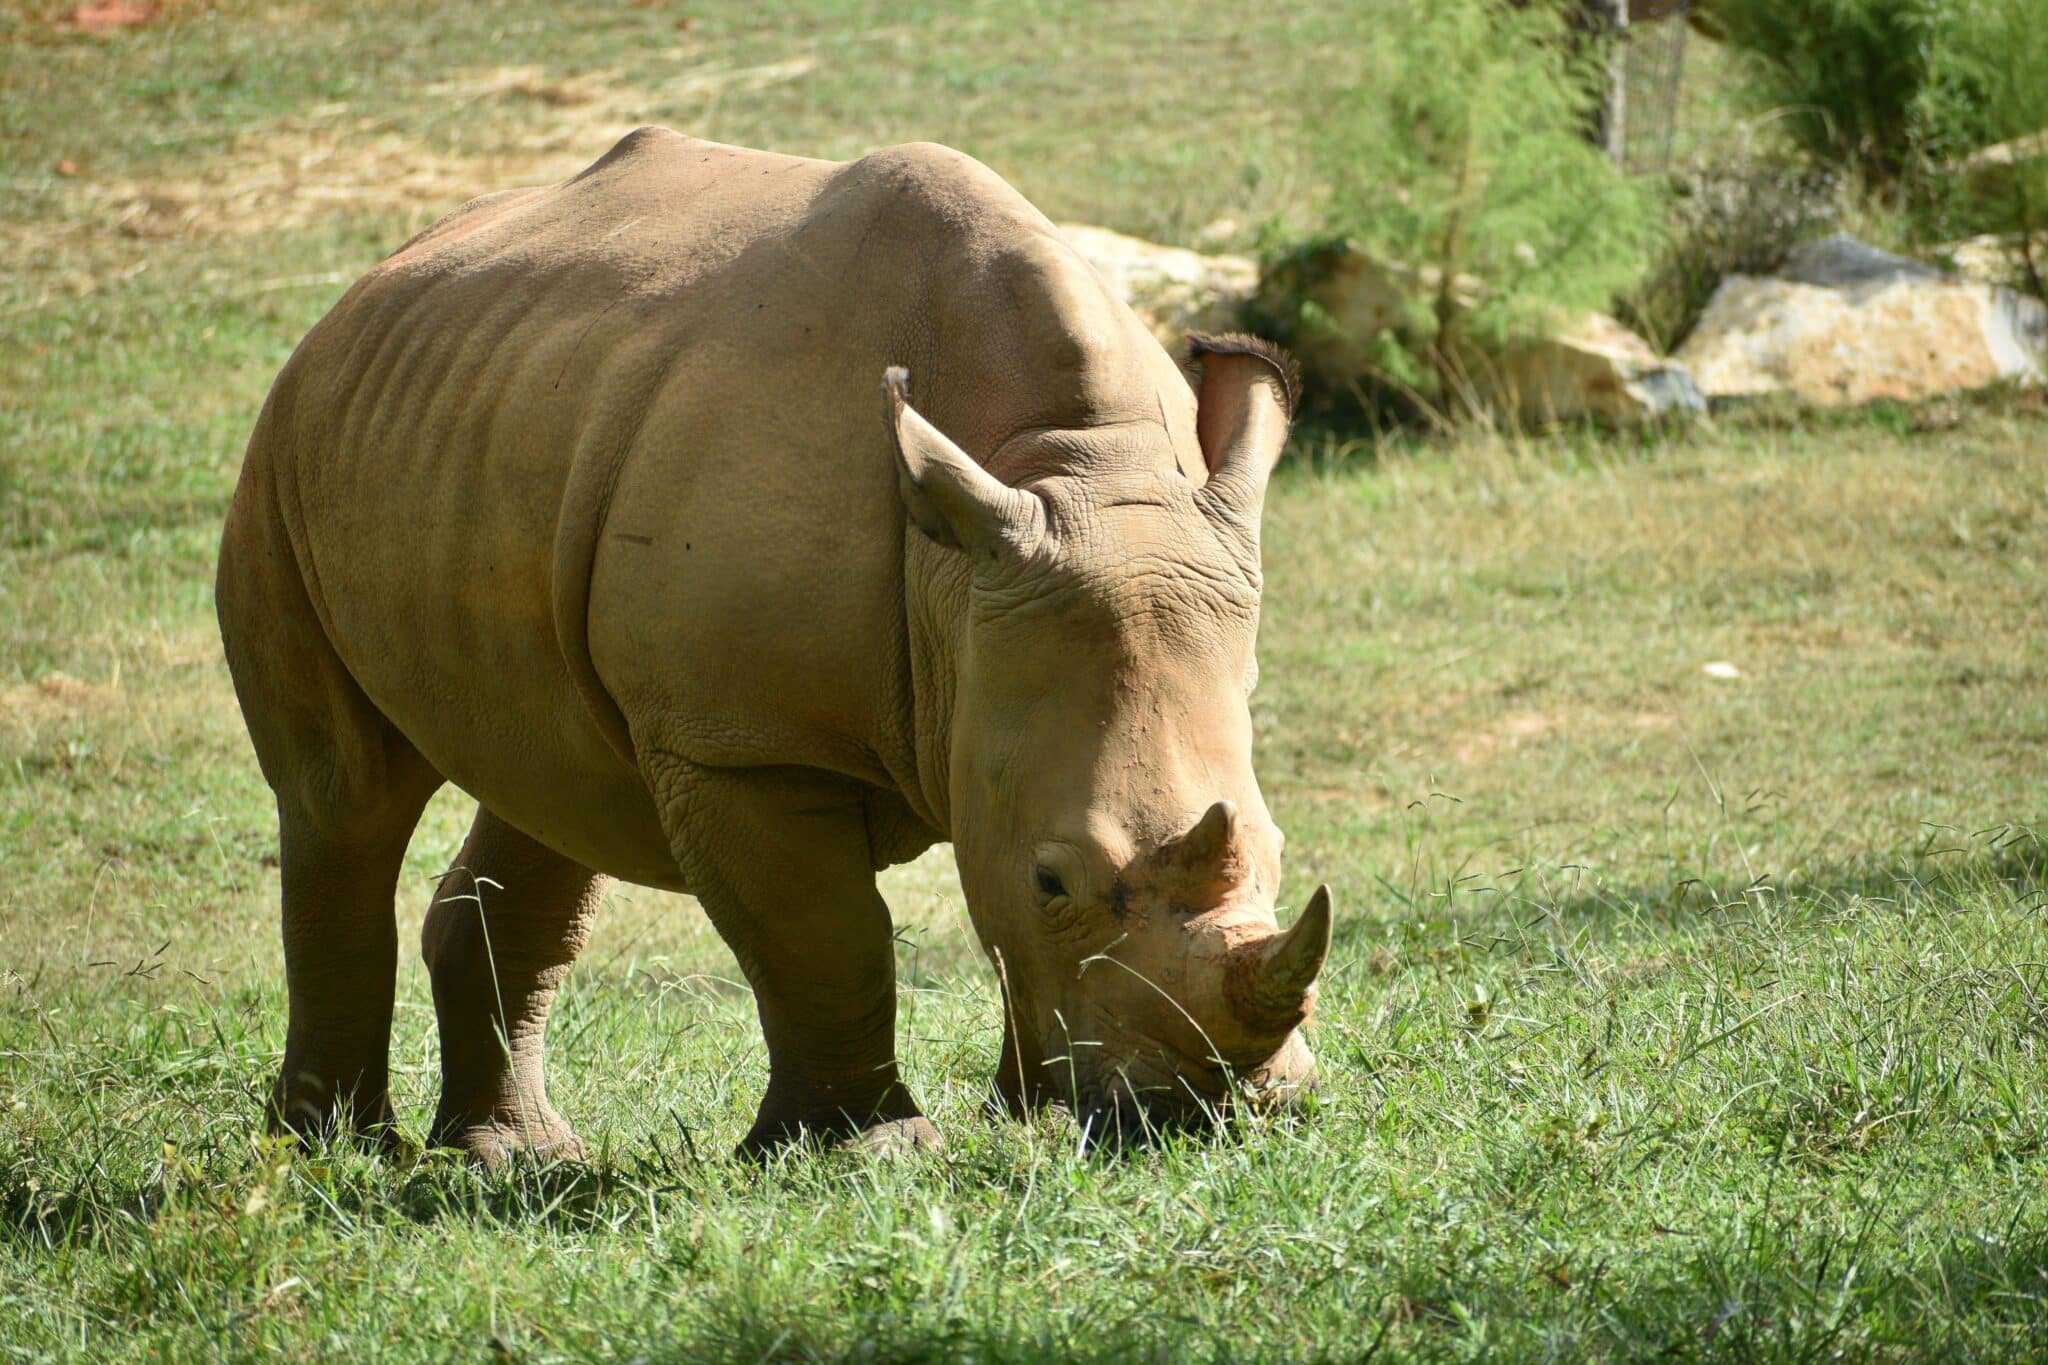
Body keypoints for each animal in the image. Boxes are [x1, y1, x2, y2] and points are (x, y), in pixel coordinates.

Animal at [216, 128, 1333, 1162]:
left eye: (1278, 852)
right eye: (1053, 880)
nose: (1216, 1108)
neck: (1066, 465)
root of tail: (362, 292)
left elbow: (977, 921)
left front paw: (1034, 1114)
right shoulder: (740, 741)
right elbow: (828, 938)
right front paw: (873, 1150)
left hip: (494, 409)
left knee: (550, 785)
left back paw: (508, 1156)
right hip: (281, 450)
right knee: (347, 797)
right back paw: (332, 1149)